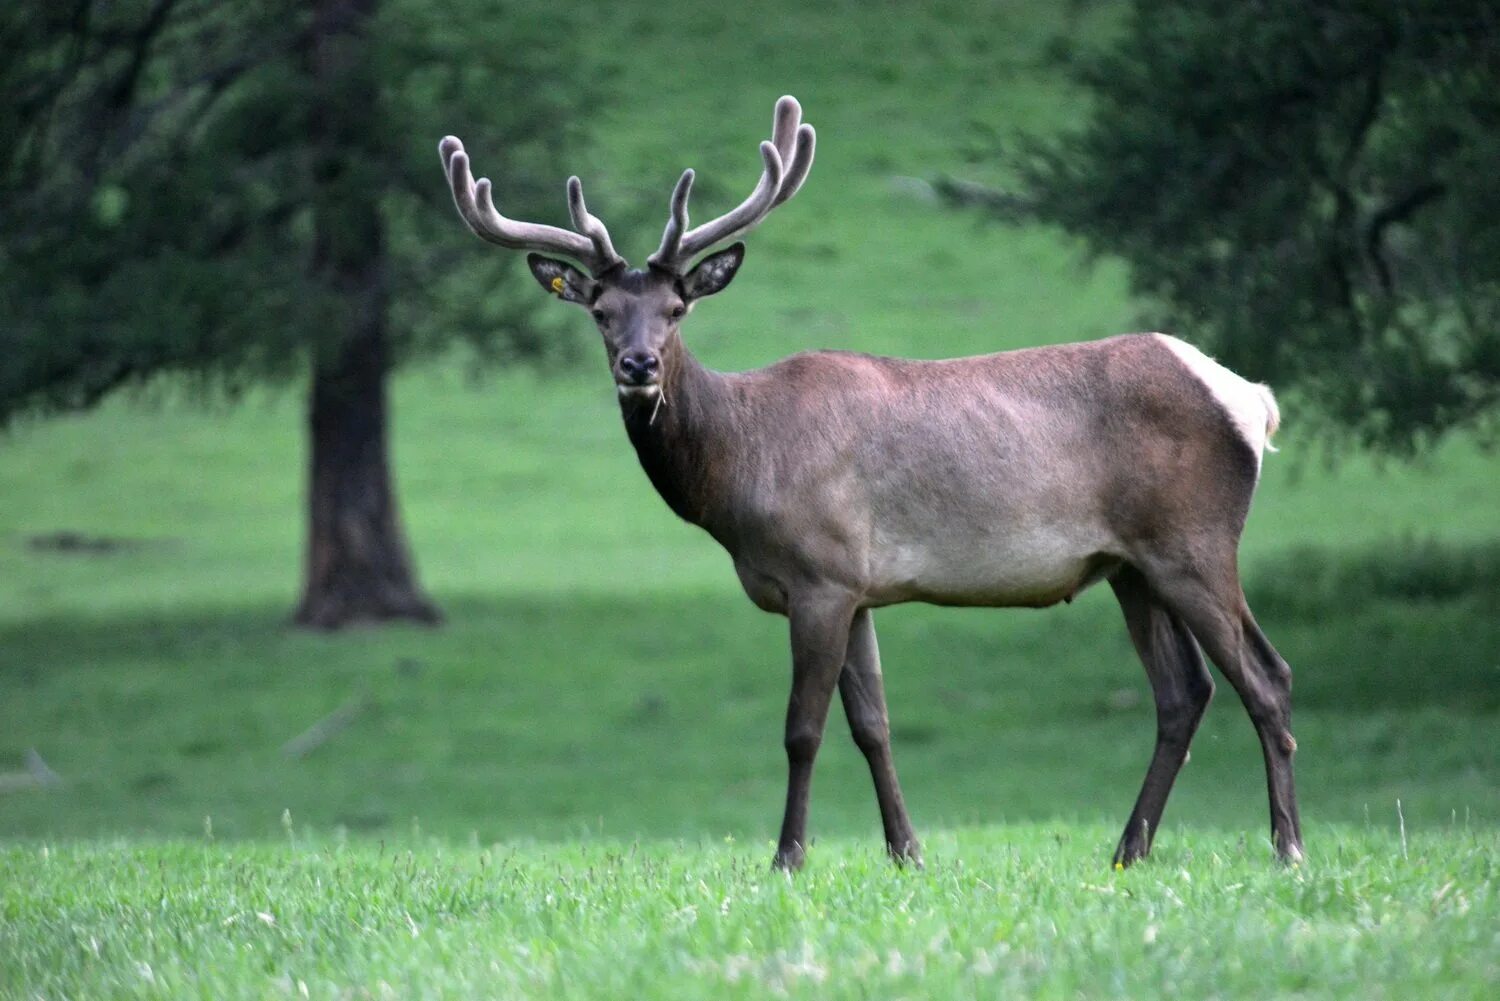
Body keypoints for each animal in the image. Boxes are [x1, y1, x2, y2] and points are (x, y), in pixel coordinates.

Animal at [438, 97, 1302, 870]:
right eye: (601, 311)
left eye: (678, 307)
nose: (639, 365)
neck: (740, 472)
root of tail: (1253, 400)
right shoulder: (858, 584)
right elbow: (873, 723)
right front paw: (907, 851)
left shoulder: (820, 571)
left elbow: (803, 728)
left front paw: (788, 856)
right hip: (1131, 565)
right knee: (1184, 692)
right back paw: (1129, 849)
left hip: (1194, 538)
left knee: (1266, 674)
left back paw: (1285, 846)